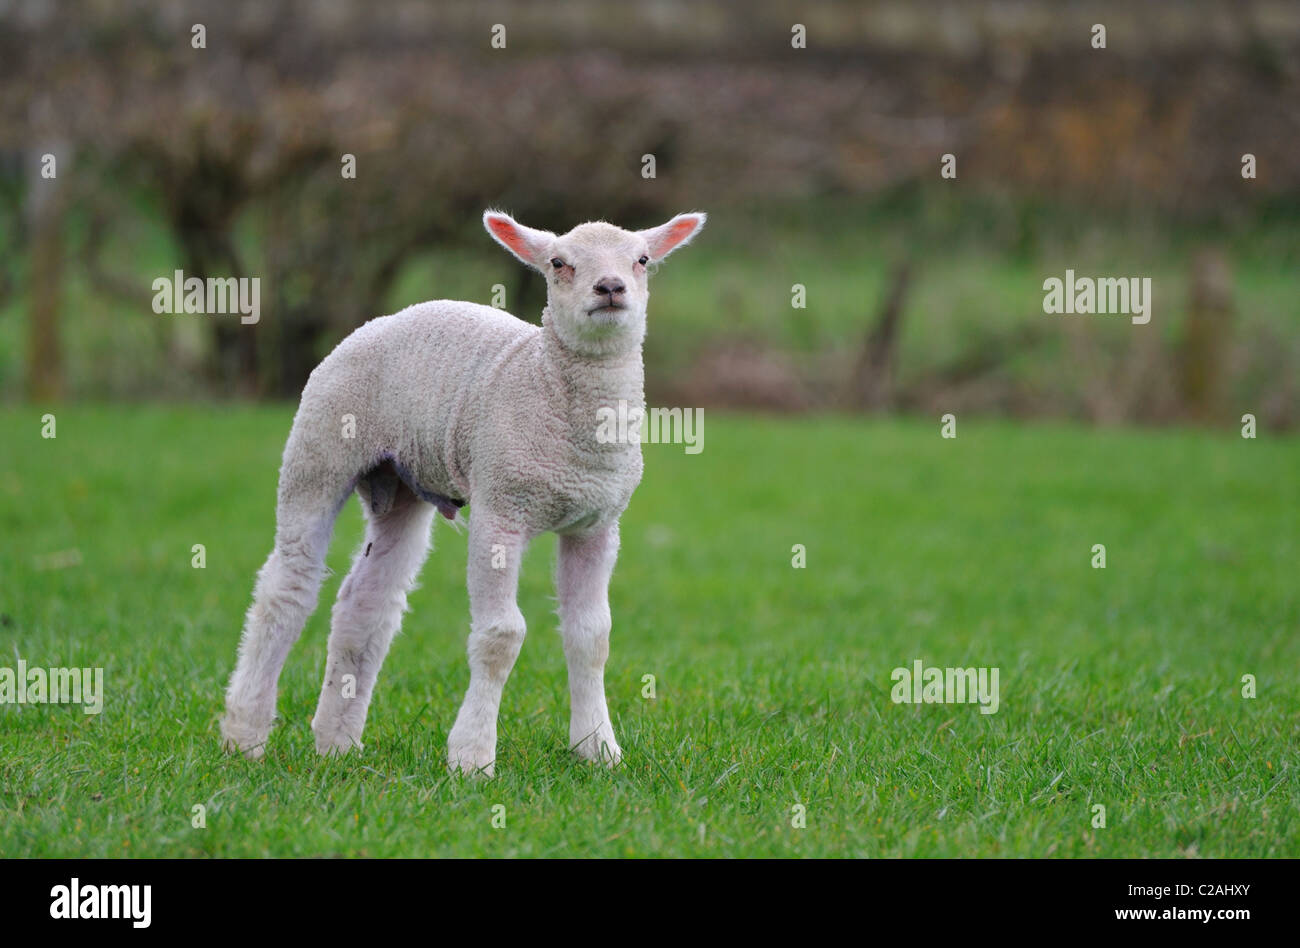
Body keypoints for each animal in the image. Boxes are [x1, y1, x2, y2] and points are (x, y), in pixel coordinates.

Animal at [220, 208, 706, 776]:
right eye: (558, 262)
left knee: (368, 603)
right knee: (286, 585)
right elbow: (501, 636)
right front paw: (472, 757)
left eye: (643, 259)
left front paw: (598, 750)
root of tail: (383, 320)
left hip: (400, 484)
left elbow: (592, 638)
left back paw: (337, 742)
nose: (610, 287)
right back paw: (244, 735)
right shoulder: (501, 507)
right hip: (319, 443)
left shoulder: (597, 523)